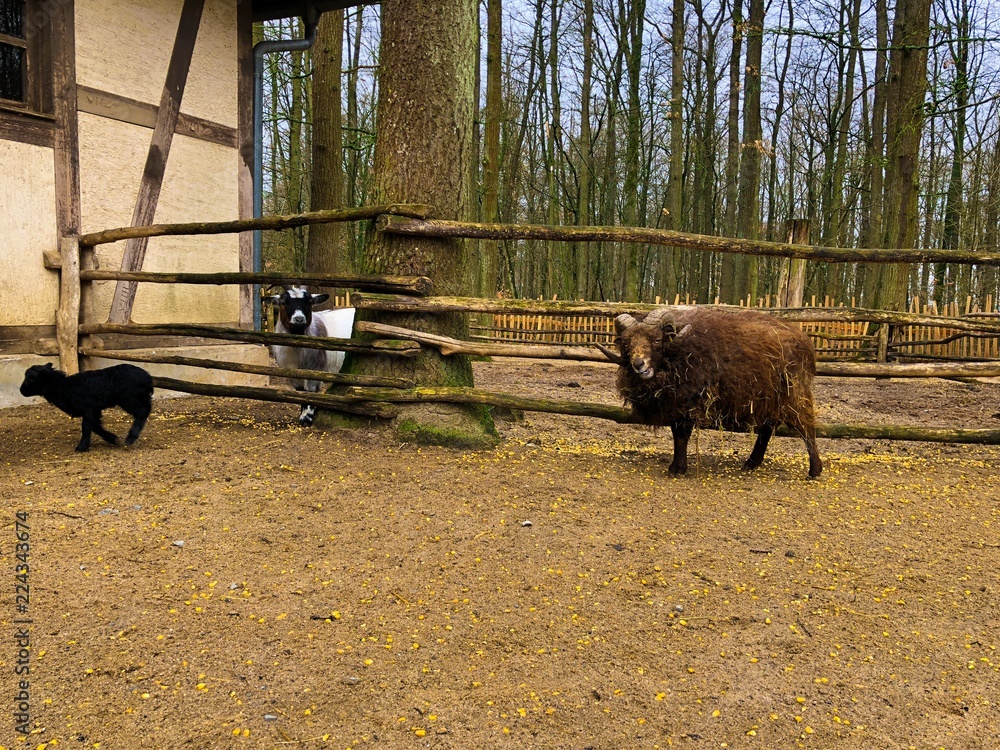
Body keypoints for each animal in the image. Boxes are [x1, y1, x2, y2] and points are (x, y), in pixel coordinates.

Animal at [19, 363, 154, 452]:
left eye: (31, 379)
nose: (21, 391)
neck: (65, 387)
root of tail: (147, 377)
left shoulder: (89, 409)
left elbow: (86, 426)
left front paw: (81, 447)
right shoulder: (94, 411)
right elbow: (95, 426)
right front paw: (113, 438)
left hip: (129, 399)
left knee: (143, 411)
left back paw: (131, 437)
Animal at [267, 286, 356, 426]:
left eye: (309, 302)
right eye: (284, 302)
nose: (299, 319)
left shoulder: (315, 369)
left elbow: (310, 391)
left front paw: (306, 419)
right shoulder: (292, 373)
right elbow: (301, 392)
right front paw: (302, 416)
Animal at [603, 307, 823, 478]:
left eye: (656, 340)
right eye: (627, 343)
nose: (638, 364)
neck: (680, 353)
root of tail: (804, 340)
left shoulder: (689, 401)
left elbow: (681, 435)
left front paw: (677, 469)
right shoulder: (677, 402)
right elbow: (677, 434)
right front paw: (677, 467)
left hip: (793, 394)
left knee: (806, 427)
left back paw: (815, 470)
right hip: (768, 398)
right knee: (768, 429)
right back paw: (751, 463)